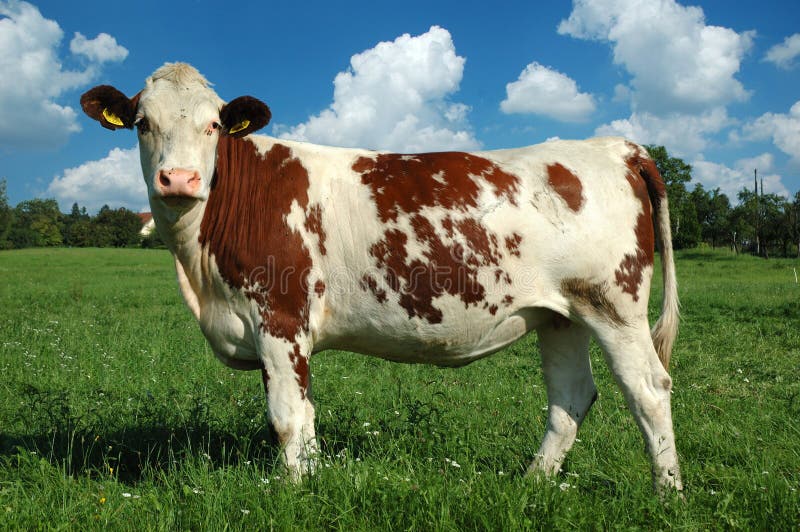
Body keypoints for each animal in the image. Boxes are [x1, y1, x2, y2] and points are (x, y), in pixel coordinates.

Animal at [81, 62, 682, 493]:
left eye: (212, 125)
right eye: (142, 124)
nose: (178, 179)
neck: (202, 275)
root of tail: (615, 146)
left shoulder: (280, 317)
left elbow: (287, 418)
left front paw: (294, 493)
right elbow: (301, 417)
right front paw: (309, 482)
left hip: (613, 306)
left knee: (648, 389)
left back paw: (667, 494)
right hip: (563, 315)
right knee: (571, 396)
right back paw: (532, 483)